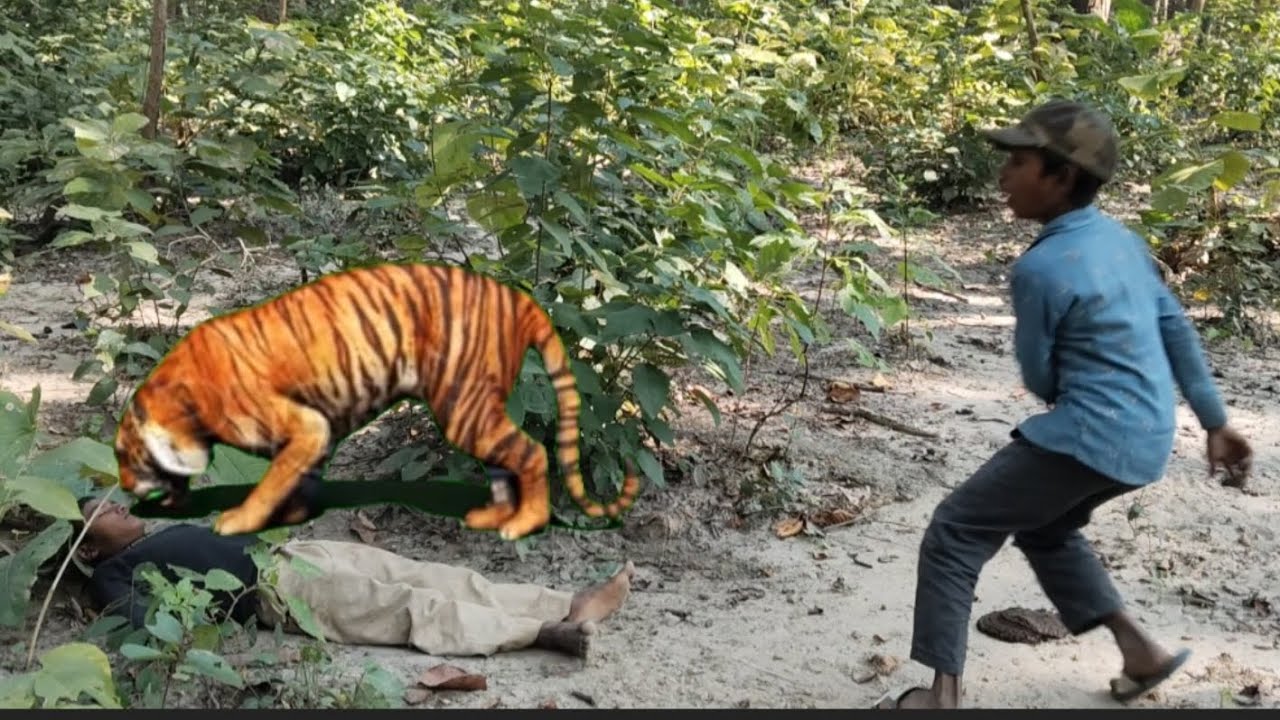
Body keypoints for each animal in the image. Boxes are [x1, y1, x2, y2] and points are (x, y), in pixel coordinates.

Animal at [113, 261, 642, 541]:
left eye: (124, 455)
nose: (122, 488)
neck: (180, 397)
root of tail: (517, 298)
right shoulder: (319, 430)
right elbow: (297, 478)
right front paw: (292, 514)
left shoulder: (305, 426)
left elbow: (271, 482)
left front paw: (239, 519)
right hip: (478, 406)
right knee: (505, 461)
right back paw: (491, 516)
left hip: (463, 405)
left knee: (531, 452)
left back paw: (522, 524)